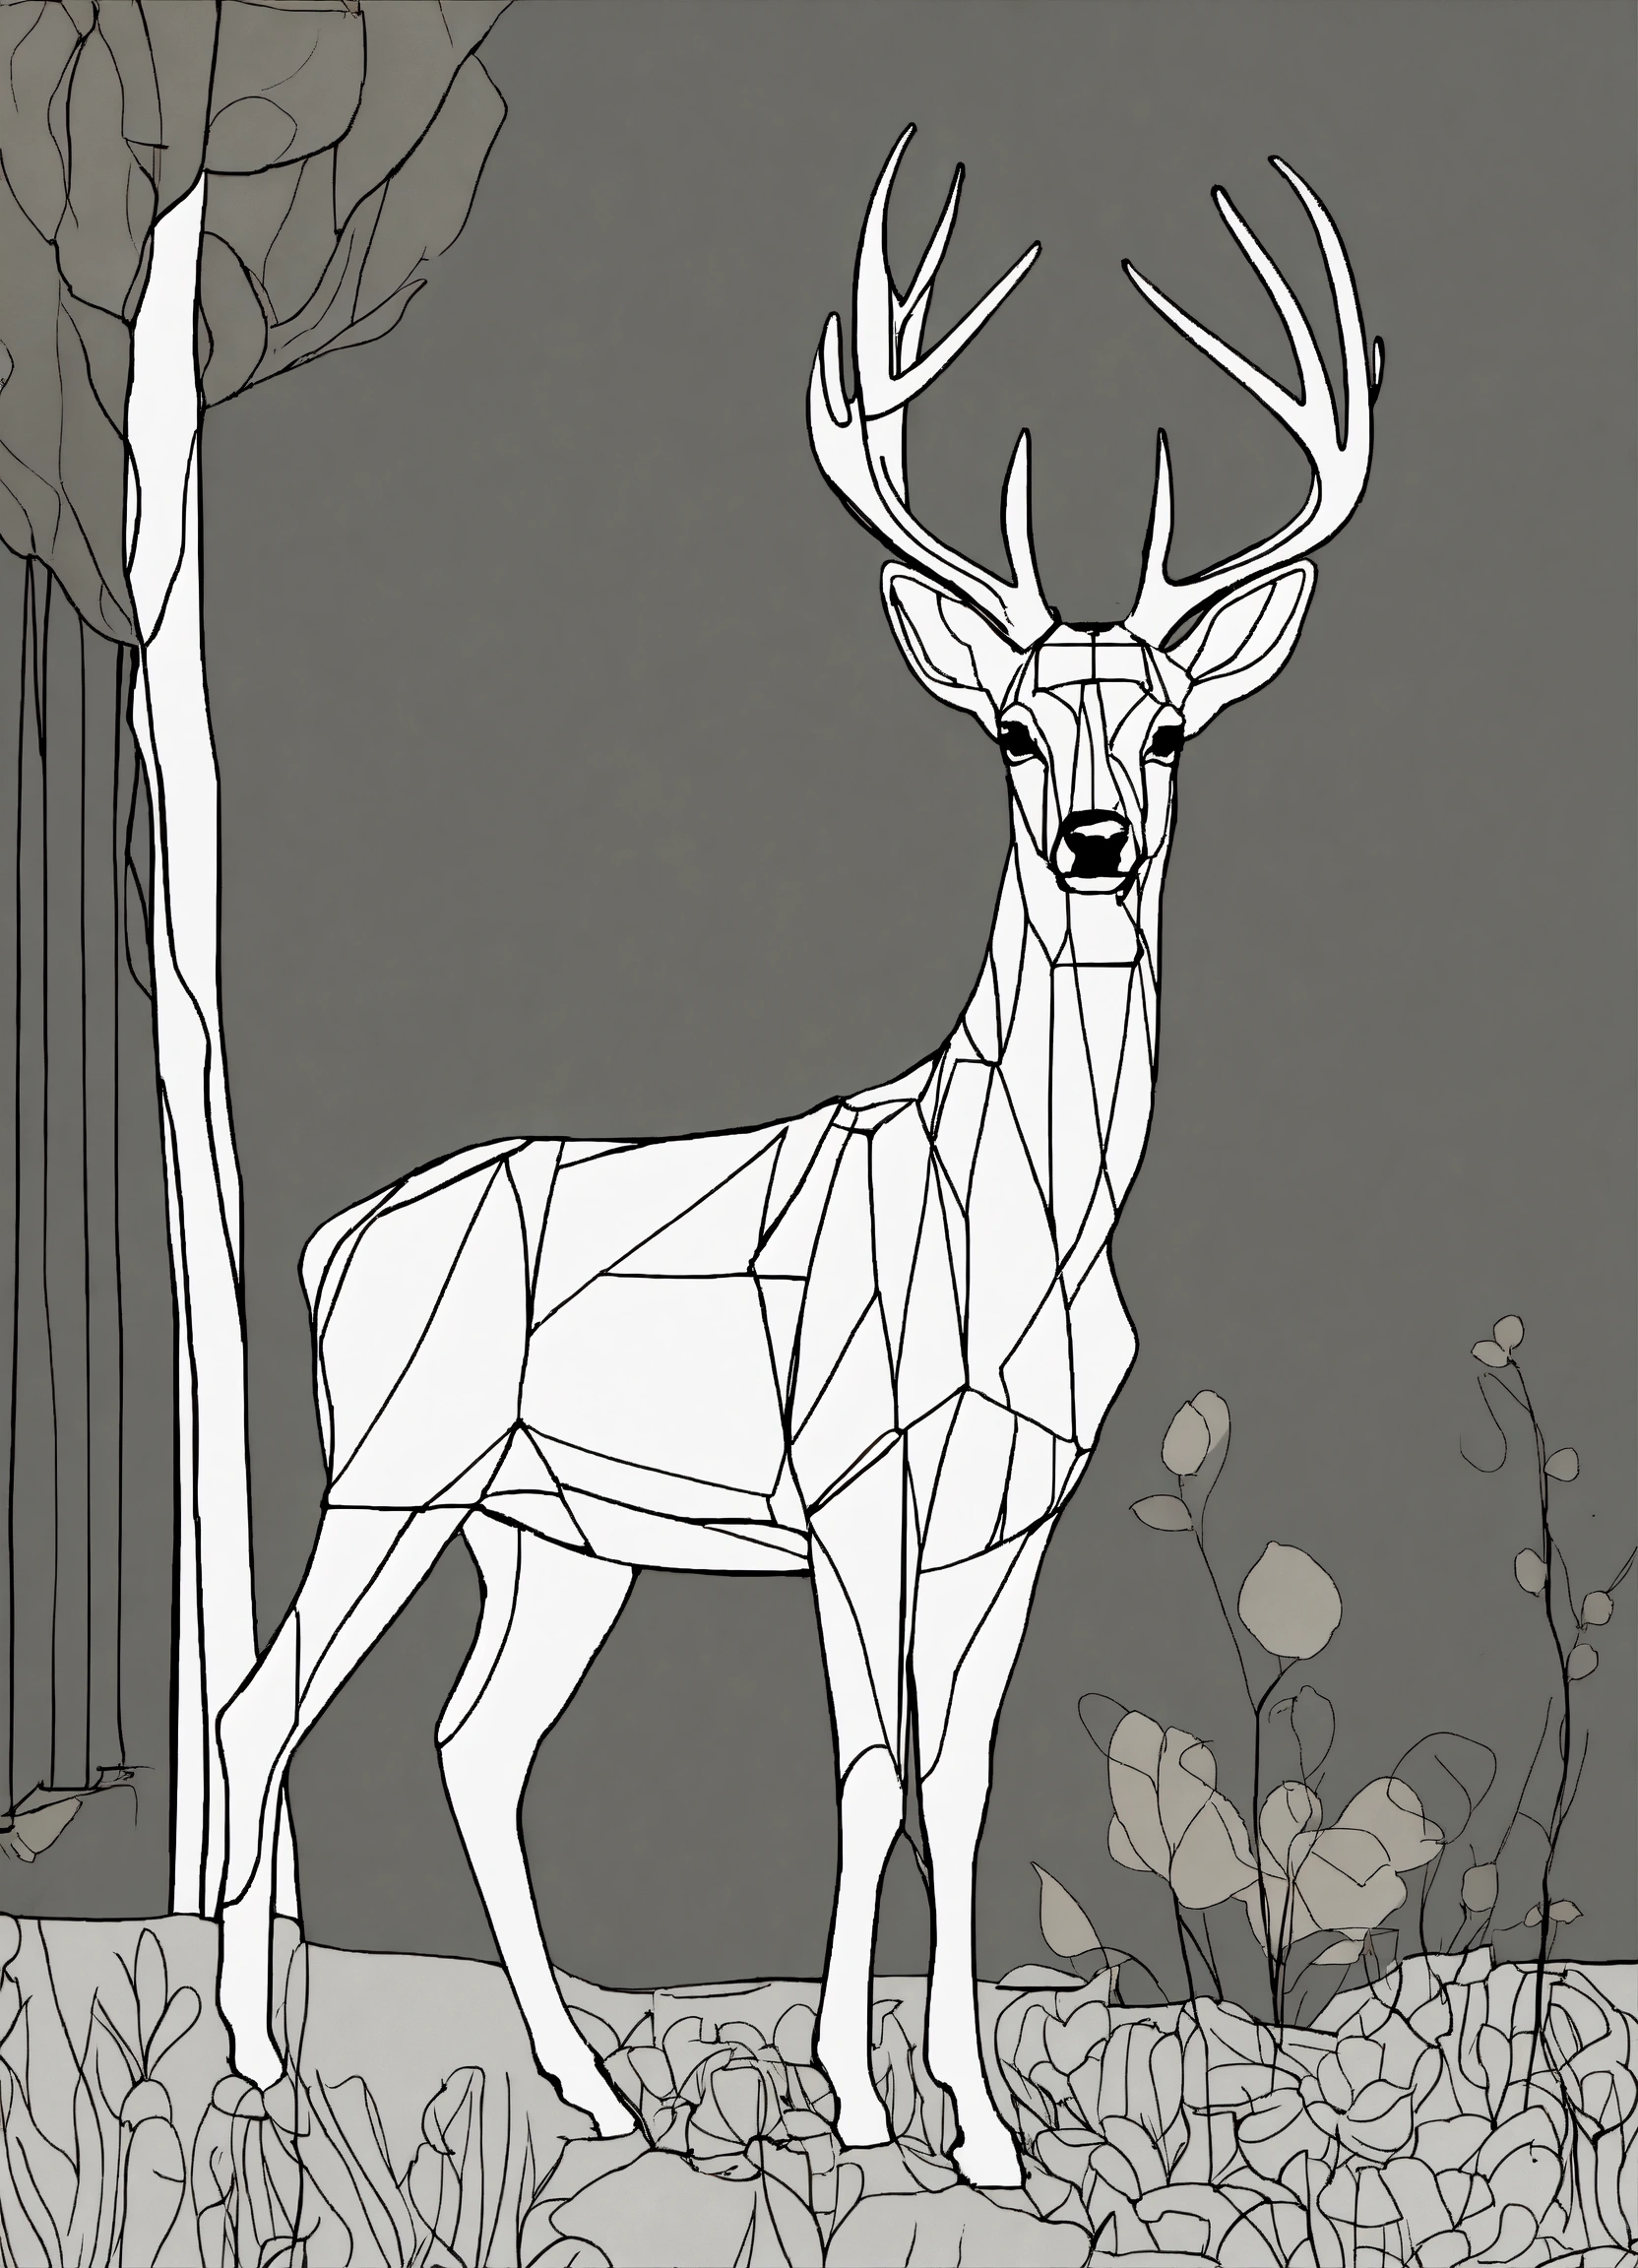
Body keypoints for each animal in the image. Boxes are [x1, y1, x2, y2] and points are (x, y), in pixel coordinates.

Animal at [216, 128, 1379, 2188]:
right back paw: (255, 2063)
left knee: (470, 1743)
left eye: (1166, 729)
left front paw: (979, 2126)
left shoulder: (1011, 1512)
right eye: (1008, 730)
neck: (1004, 1232)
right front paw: (855, 2094)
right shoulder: (847, 1484)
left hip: (552, 1531)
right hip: (398, 1460)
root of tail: (336, 1239)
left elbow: (966, 1772)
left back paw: (591, 2086)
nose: (1091, 843)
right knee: (260, 1696)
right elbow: (862, 1769)